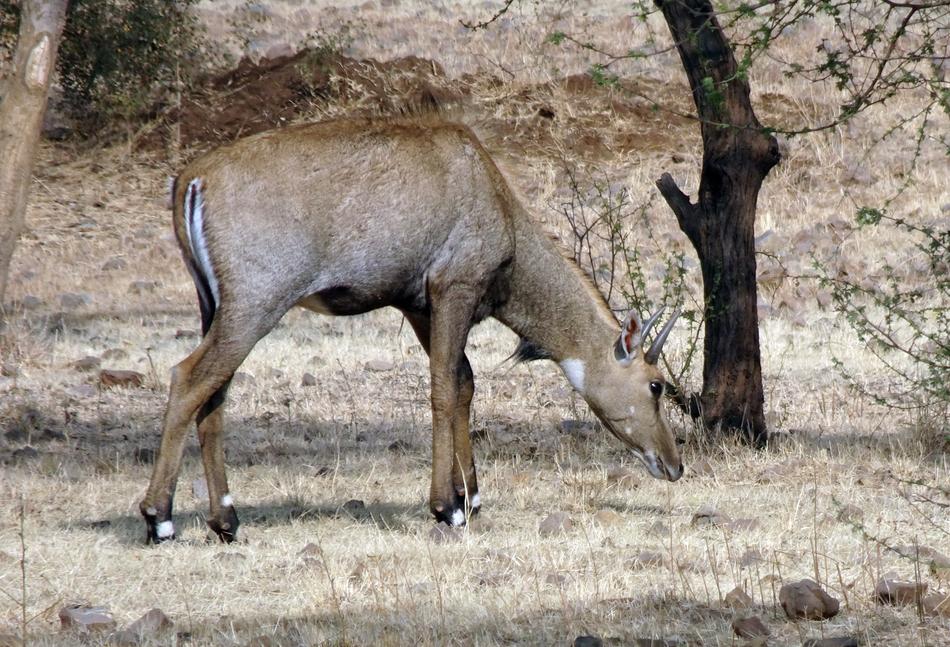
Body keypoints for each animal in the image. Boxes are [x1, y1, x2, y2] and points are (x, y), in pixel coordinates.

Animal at [140, 114, 682, 544]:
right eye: (656, 385)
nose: (674, 466)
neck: (495, 199)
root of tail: (192, 179)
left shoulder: (419, 306)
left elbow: (464, 383)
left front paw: (470, 496)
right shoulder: (455, 287)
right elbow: (443, 387)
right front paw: (447, 508)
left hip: (215, 306)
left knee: (214, 393)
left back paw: (226, 520)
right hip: (255, 305)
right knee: (189, 378)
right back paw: (160, 518)